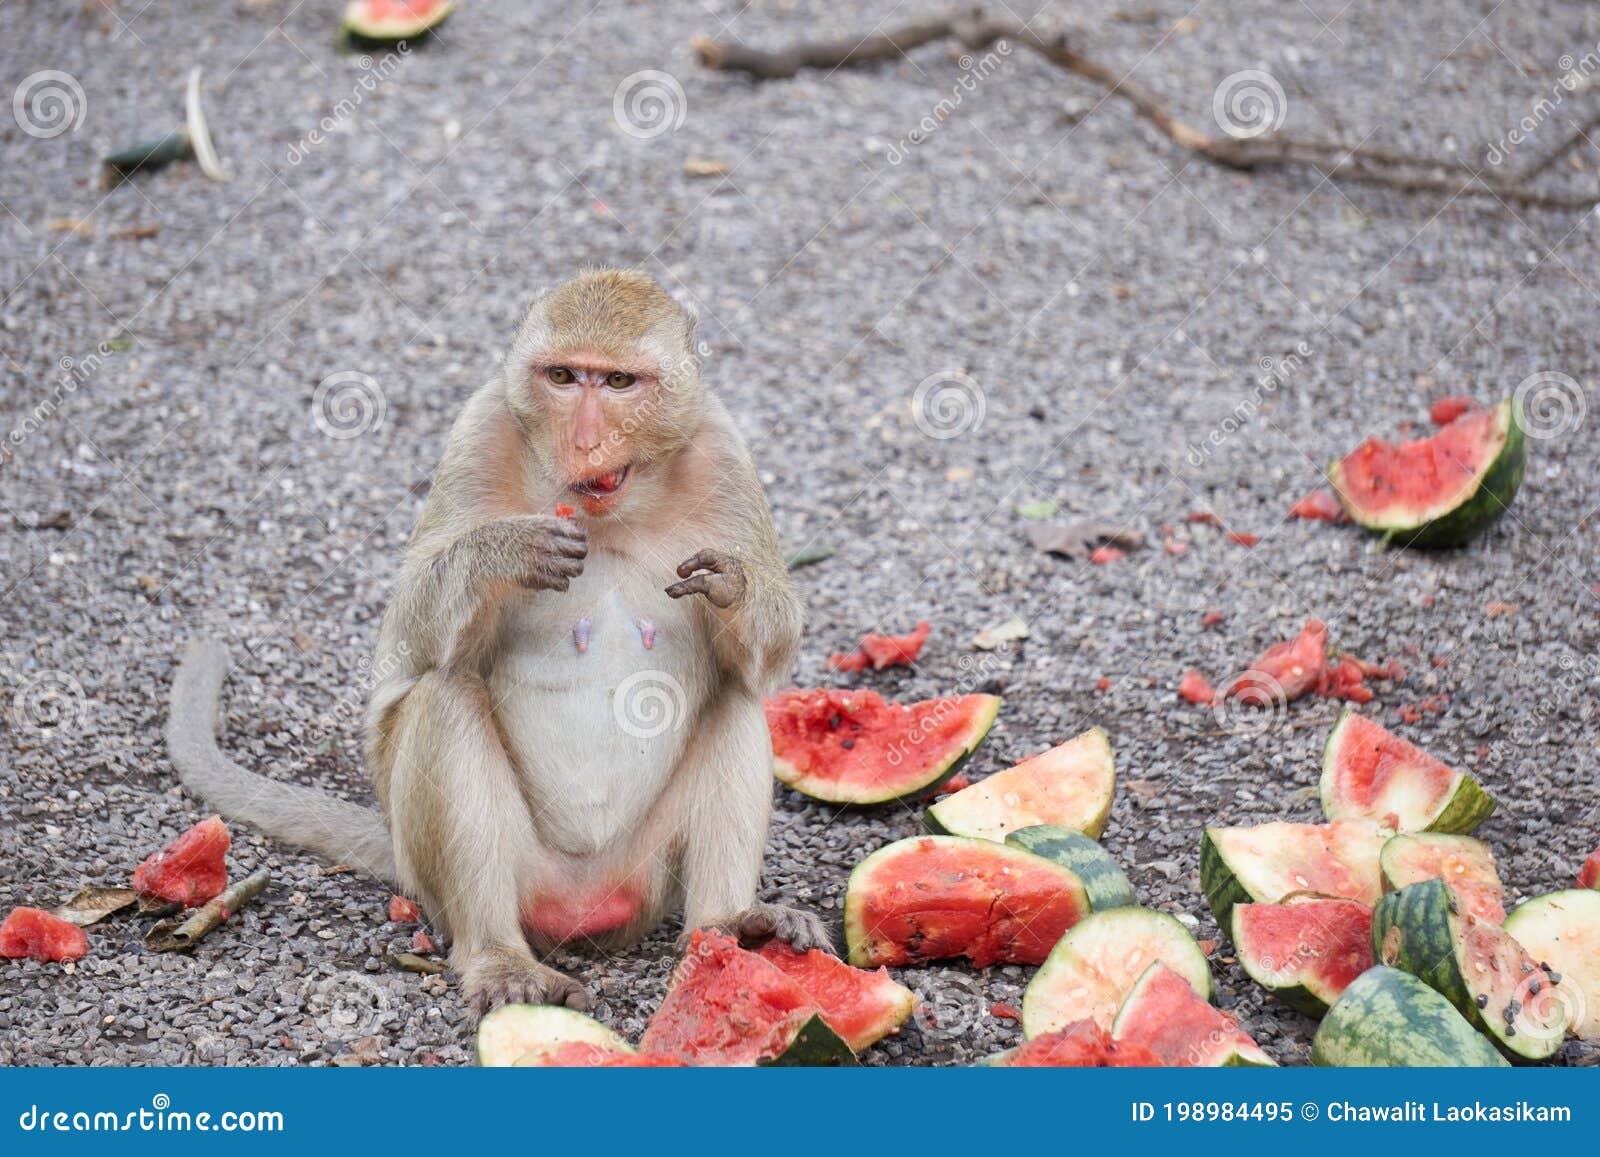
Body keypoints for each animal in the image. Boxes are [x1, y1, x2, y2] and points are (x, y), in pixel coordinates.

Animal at [167, 268, 825, 1013]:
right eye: (563, 376)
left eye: (618, 382)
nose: (583, 442)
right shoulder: (479, 431)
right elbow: (411, 640)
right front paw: (500, 552)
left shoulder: (725, 453)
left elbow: (765, 658)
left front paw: (733, 586)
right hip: (468, 875)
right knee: (445, 698)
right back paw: (498, 956)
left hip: (647, 874)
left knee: (737, 700)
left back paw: (731, 927)